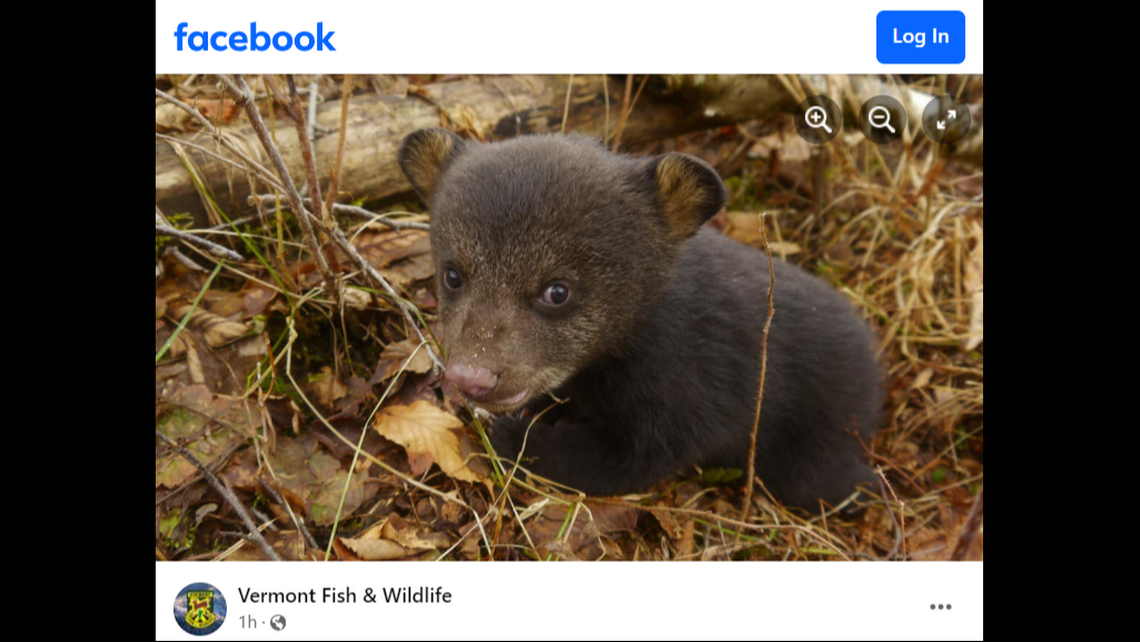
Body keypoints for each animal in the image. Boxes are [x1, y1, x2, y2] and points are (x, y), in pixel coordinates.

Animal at [398, 128, 883, 509]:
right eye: (453, 275)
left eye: (557, 291)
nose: (472, 377)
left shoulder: (690, 381)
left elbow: (634, 457)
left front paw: (515, 438)